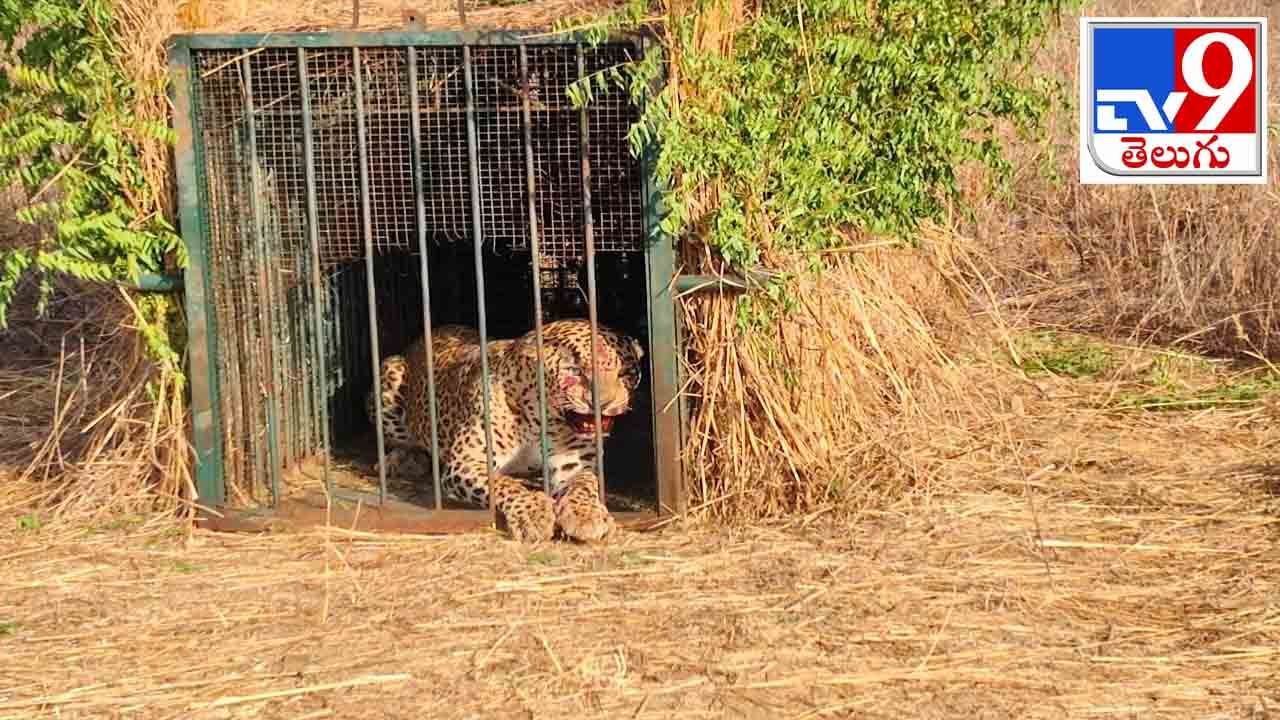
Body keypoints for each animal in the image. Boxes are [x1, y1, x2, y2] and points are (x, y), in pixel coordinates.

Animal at [365, 319, 645, 543]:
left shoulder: (573, 467)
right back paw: (401, 461)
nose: (603, 404)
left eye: (625, 372)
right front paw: (533, 514)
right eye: (574, 371)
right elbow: (504, 484)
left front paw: (586, 514)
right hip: (389, 372)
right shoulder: (467, 461)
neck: (543, 421)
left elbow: (584, 485)